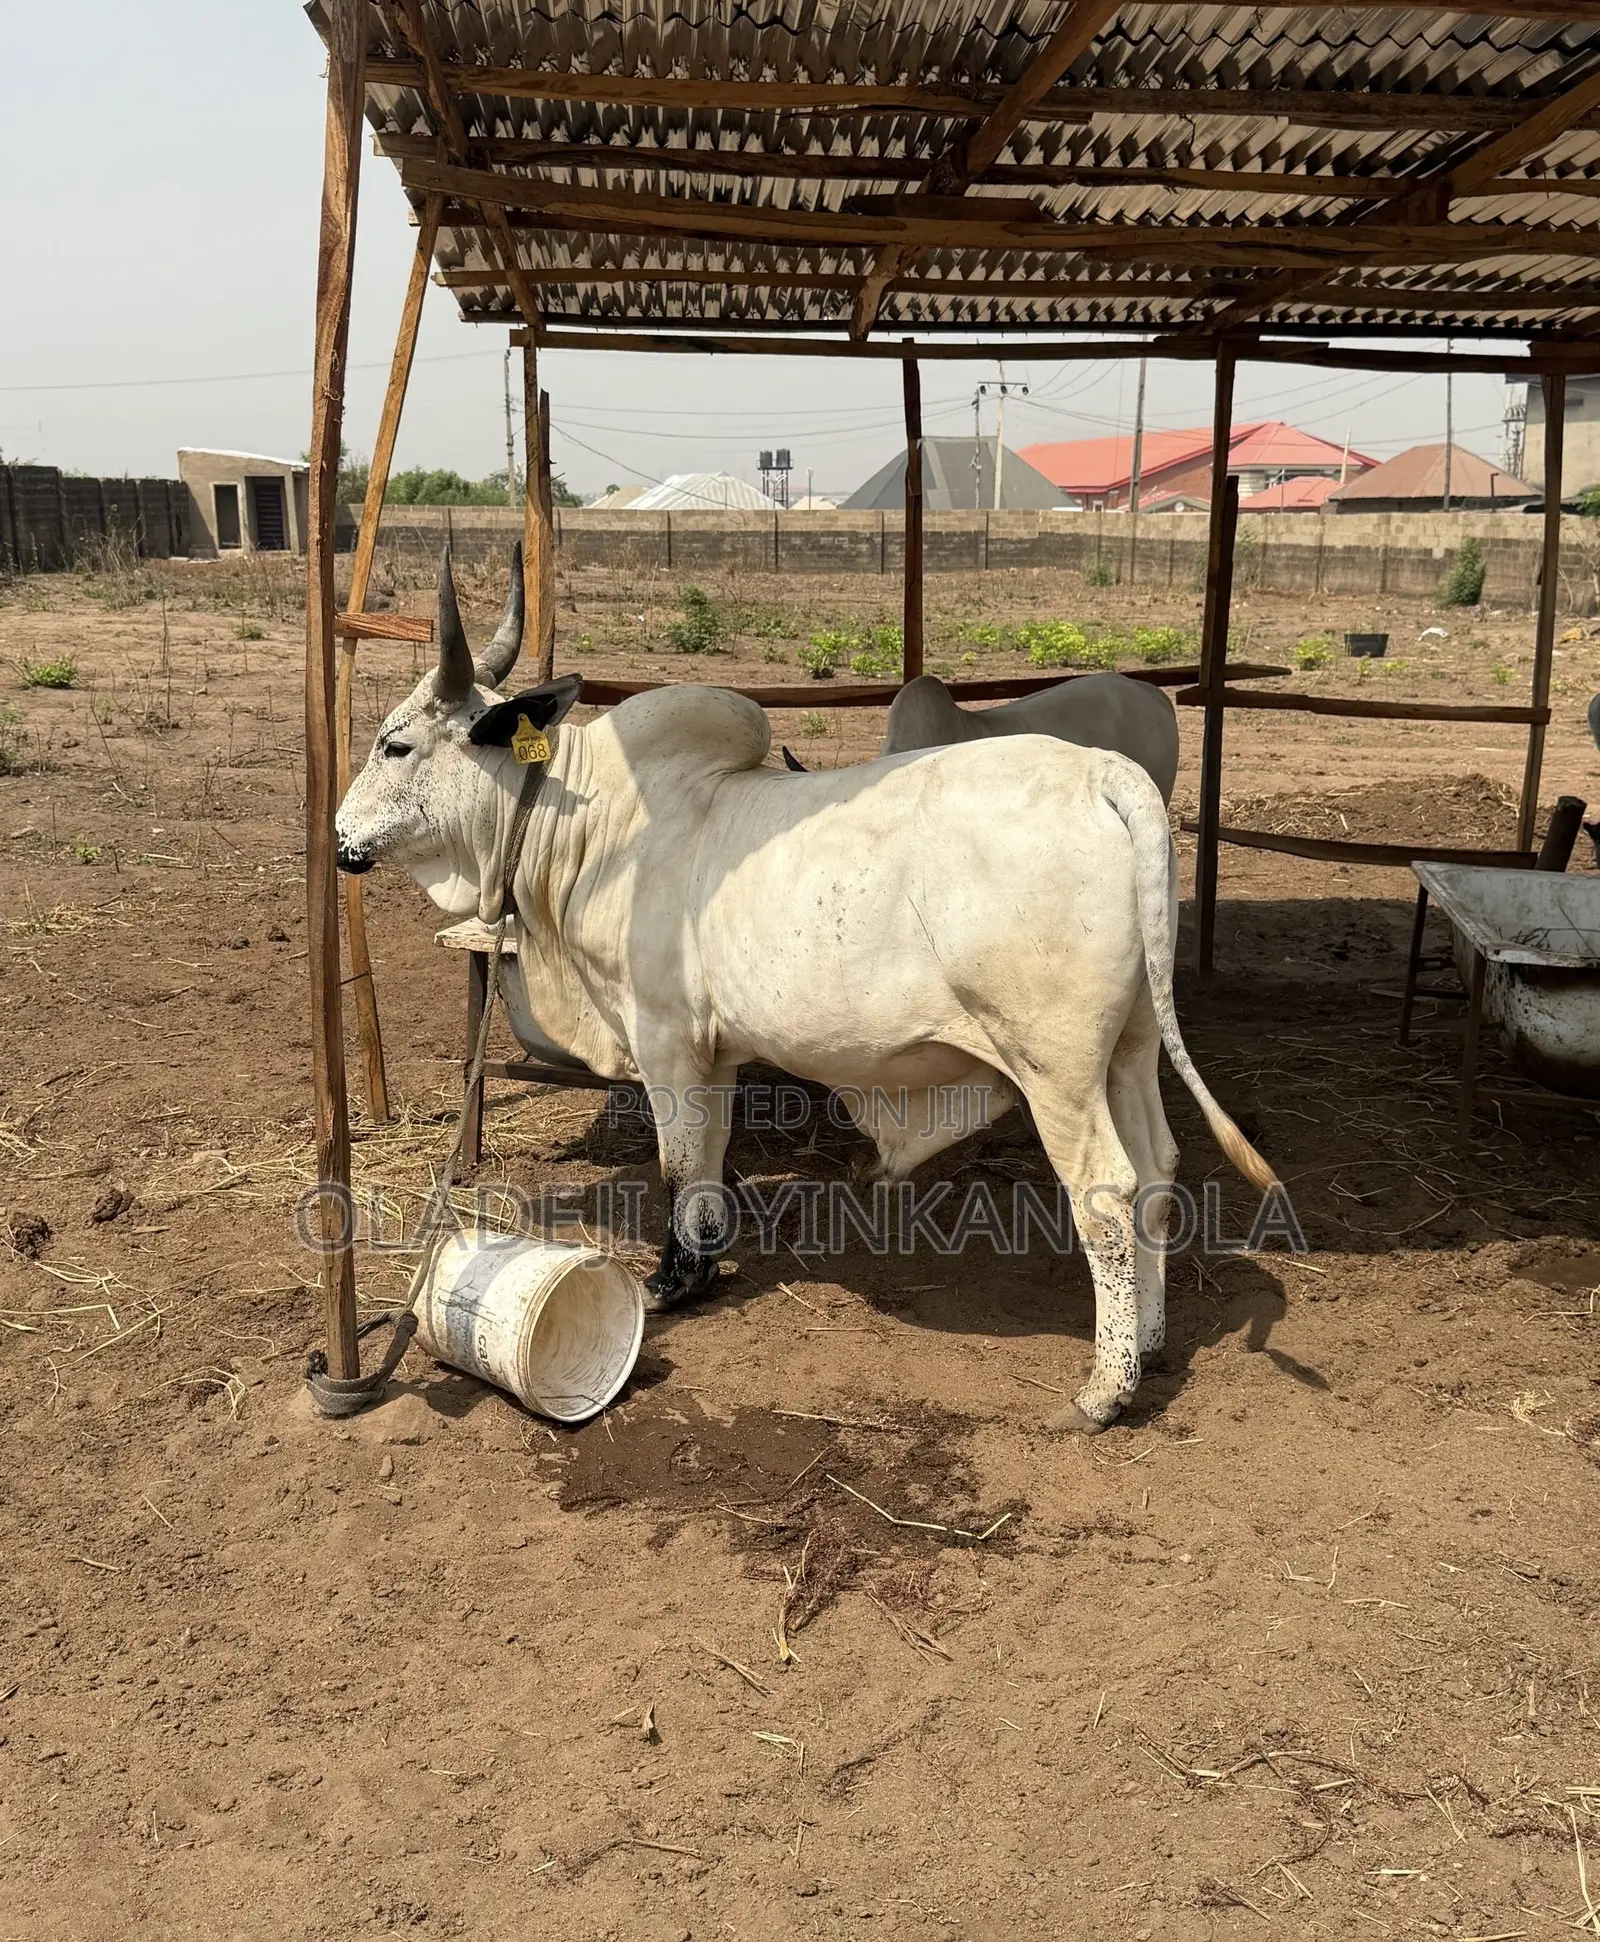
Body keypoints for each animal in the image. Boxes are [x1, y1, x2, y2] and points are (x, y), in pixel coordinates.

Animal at [335, 552, 1278, 1431]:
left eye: (395, 745)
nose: (341, 834)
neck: (605, 828)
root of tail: (1106, 780)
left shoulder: (665, 1039)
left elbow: (677, 1166)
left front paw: (671, 1282)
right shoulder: (712, 1052)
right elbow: (709, 1165)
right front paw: (702, 1266)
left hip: (1058, 1067)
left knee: (1109, 1193)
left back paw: (1104, 1388)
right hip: (1130, 1049)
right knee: (1158, 1169)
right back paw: (1150, 1343)